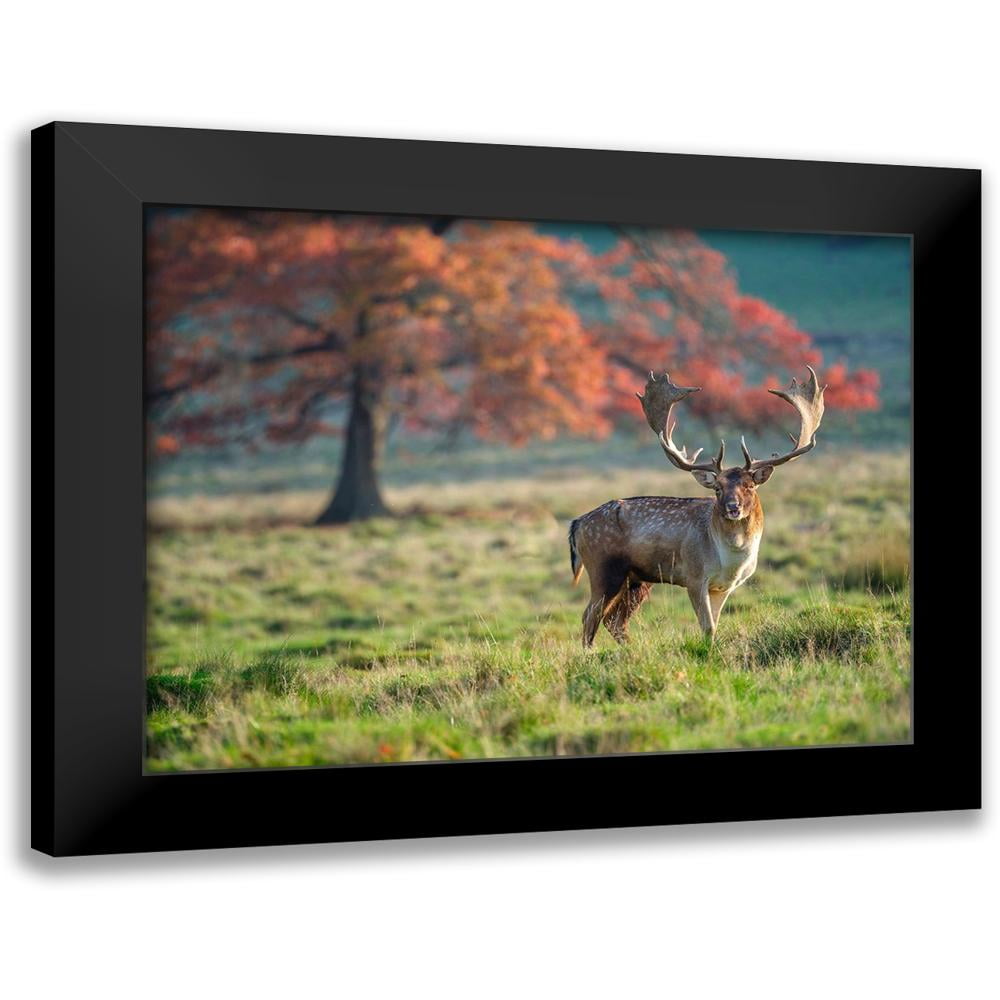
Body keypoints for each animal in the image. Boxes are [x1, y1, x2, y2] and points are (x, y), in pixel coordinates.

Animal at [568, 367, 826, 646]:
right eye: (717, 488)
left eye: (749, 485)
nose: (733, 507)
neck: (731, 560)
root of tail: (577, 524)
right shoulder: (694, 576)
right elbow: (708, 626)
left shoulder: (723, 587)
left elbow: (715, 625)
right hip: (603, 568)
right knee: (589, 616)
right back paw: (590, 652)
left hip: (636, 579)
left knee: (614, 620)